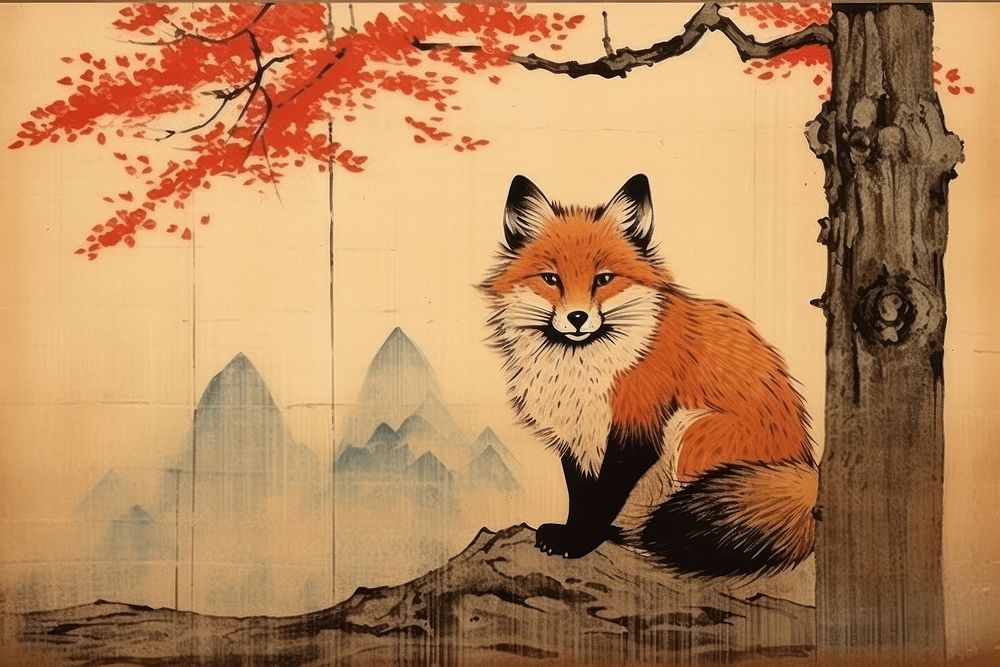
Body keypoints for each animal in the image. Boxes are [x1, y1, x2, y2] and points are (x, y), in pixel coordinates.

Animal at [480, 174, 818, 577]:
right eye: (551, 279)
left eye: (603, 279)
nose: (577, 318)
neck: (585, 370)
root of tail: (810, 472)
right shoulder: (577, 435)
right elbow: (582, 497)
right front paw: (574, 533)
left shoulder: (637, 427)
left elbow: (603, 498)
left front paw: (580, 542)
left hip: (691, 433)